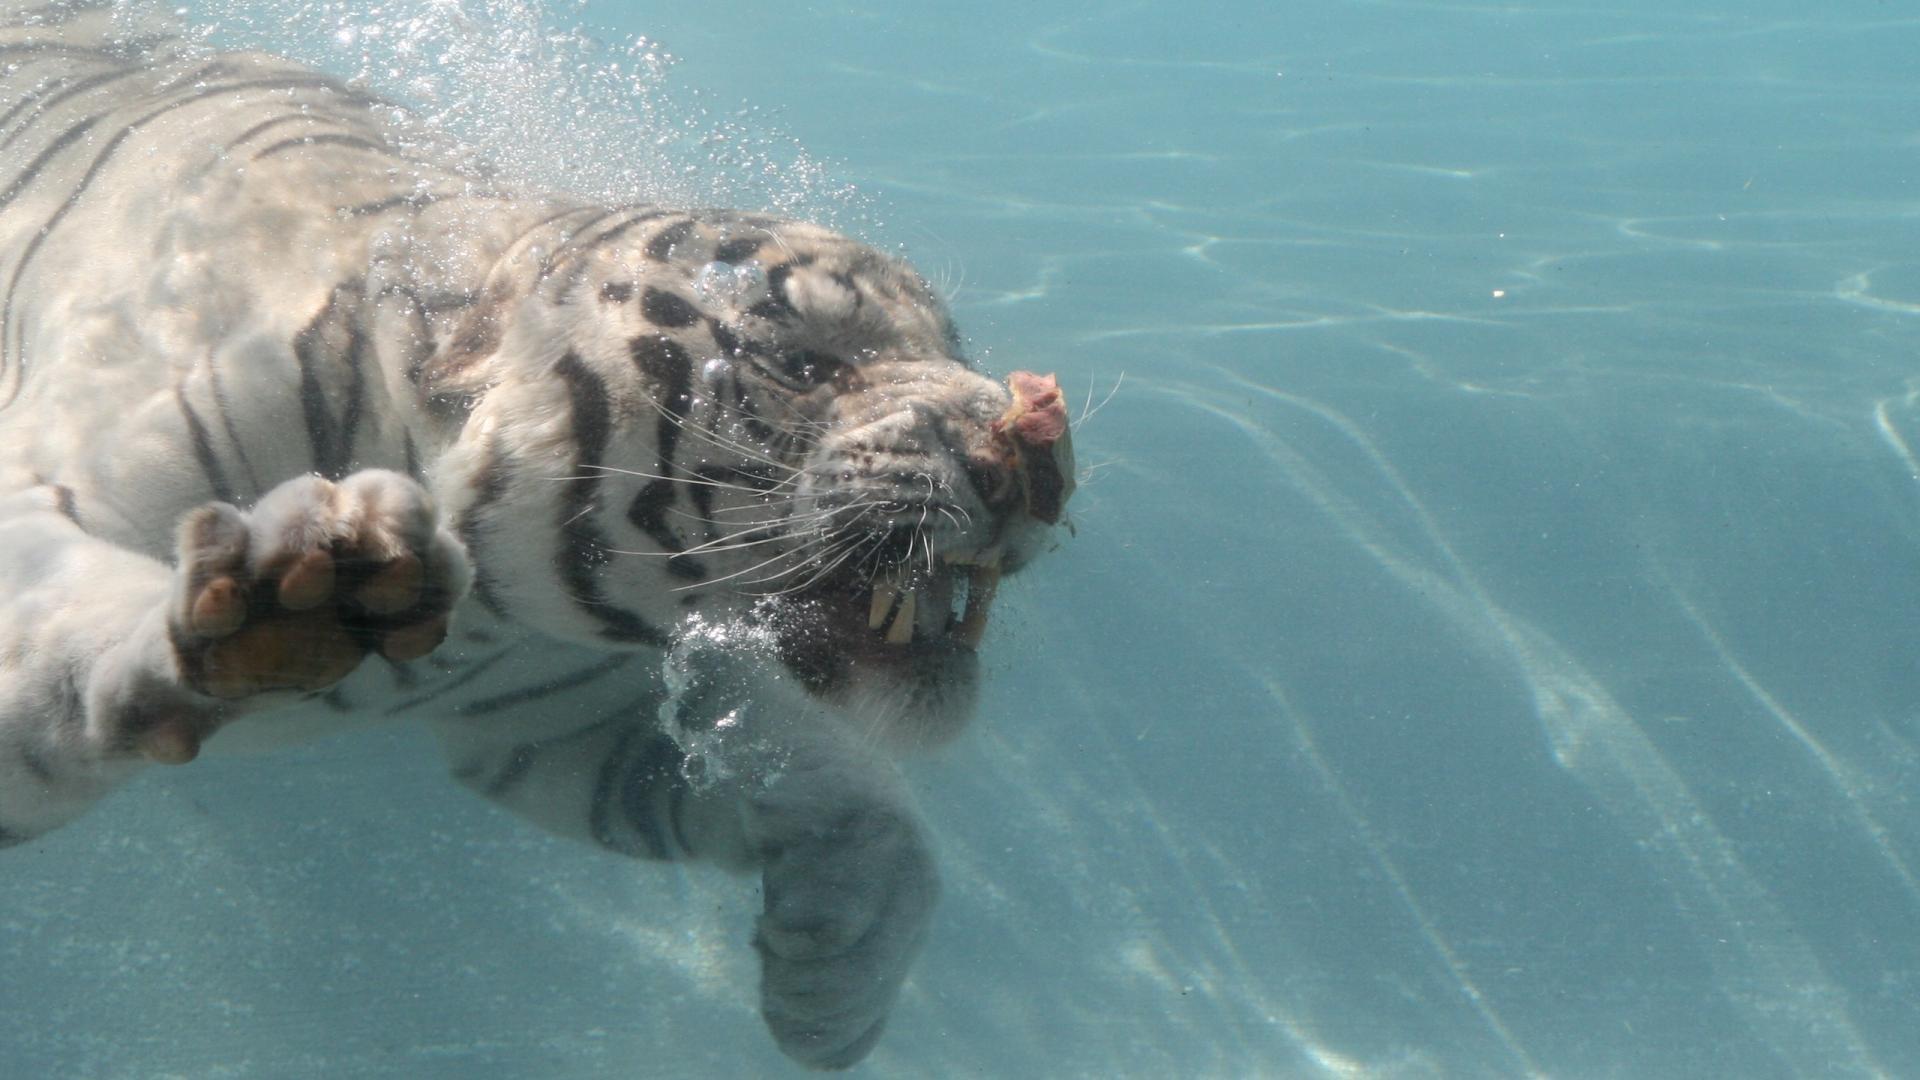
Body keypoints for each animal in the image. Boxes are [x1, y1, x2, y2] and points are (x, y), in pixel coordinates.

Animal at [0, 1, 1076, 1070]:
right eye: (806, 366)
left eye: (951, 345)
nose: (1033, 461)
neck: (476, 604)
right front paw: (282, 594)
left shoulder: (559, 714)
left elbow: (842, 787)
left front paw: (836, 979)